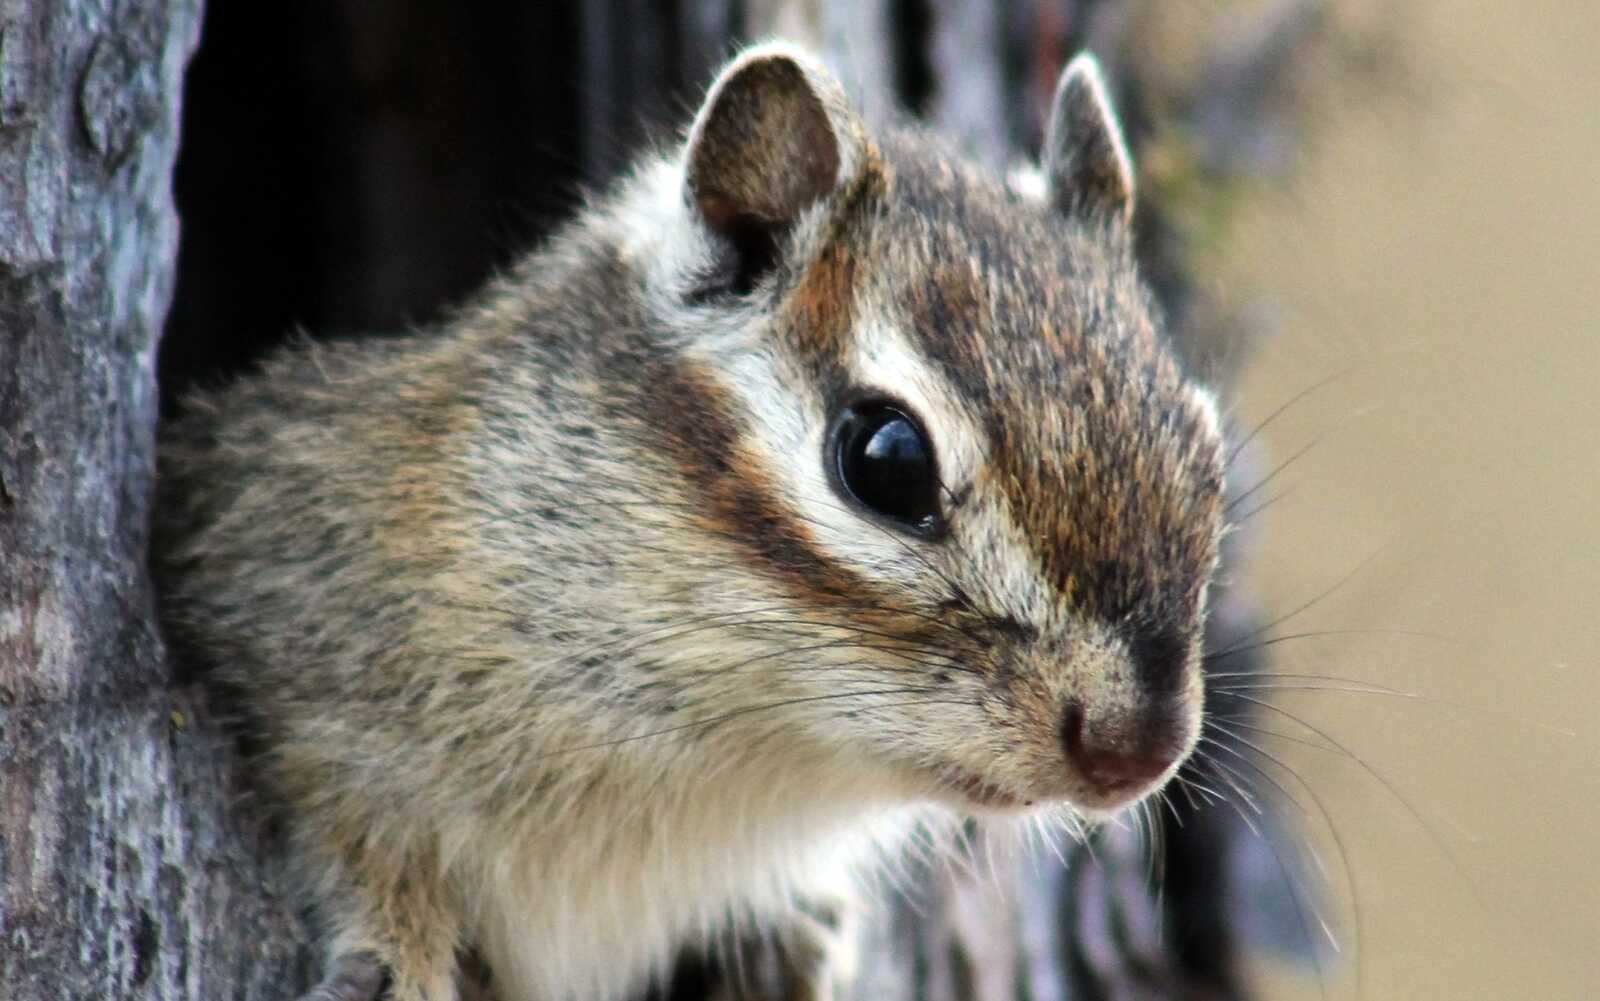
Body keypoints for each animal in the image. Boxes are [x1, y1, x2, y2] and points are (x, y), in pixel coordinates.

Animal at [155, 42, 1227, 1001]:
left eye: (1209, 453)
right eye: (887, 461)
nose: (1137, 751)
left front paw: (791, 938)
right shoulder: (280, 593)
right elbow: (349, 821)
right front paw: (400, 948)